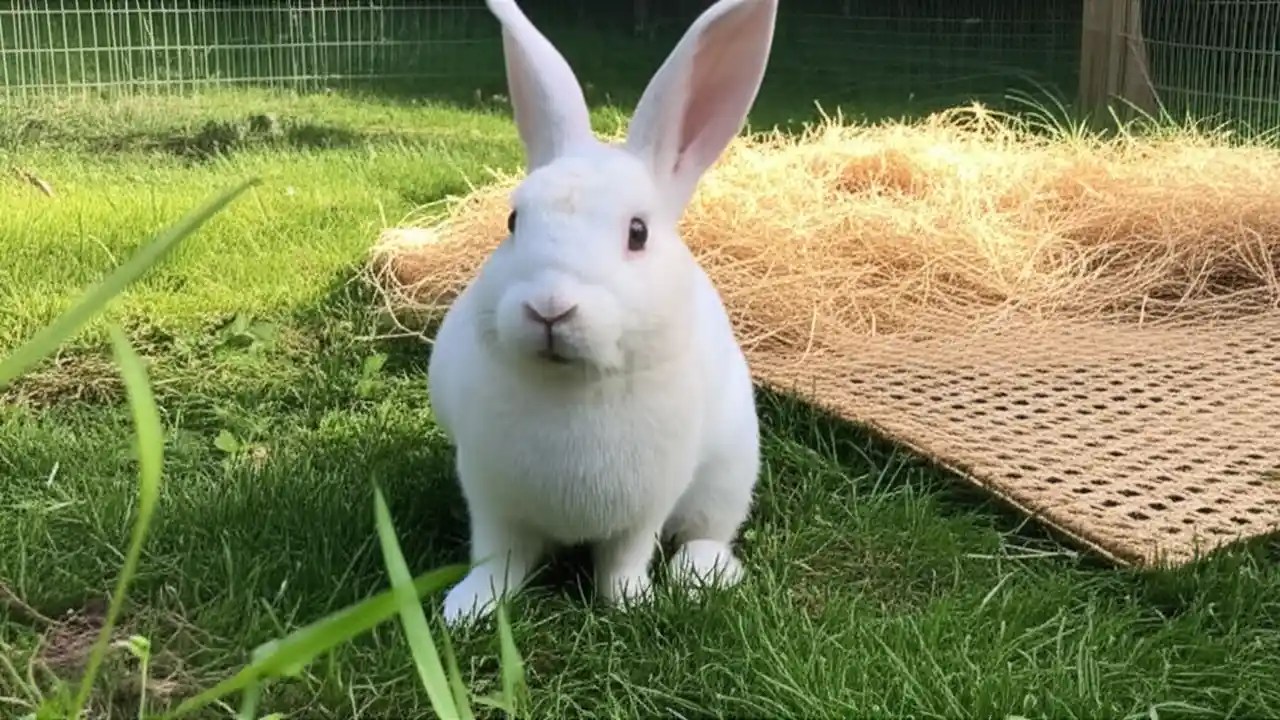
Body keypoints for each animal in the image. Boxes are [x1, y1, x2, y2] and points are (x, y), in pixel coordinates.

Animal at [428, 0, 778, 627]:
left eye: (638, 233)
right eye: (513, 222)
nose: (549, 306)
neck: (571, 387)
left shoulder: (647, 505)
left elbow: (624, 559)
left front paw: (631, 604)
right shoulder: (490, 497)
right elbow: (498, 557)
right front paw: (468, 608)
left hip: (728, 477)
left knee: (706, 533)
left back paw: (703, 575)